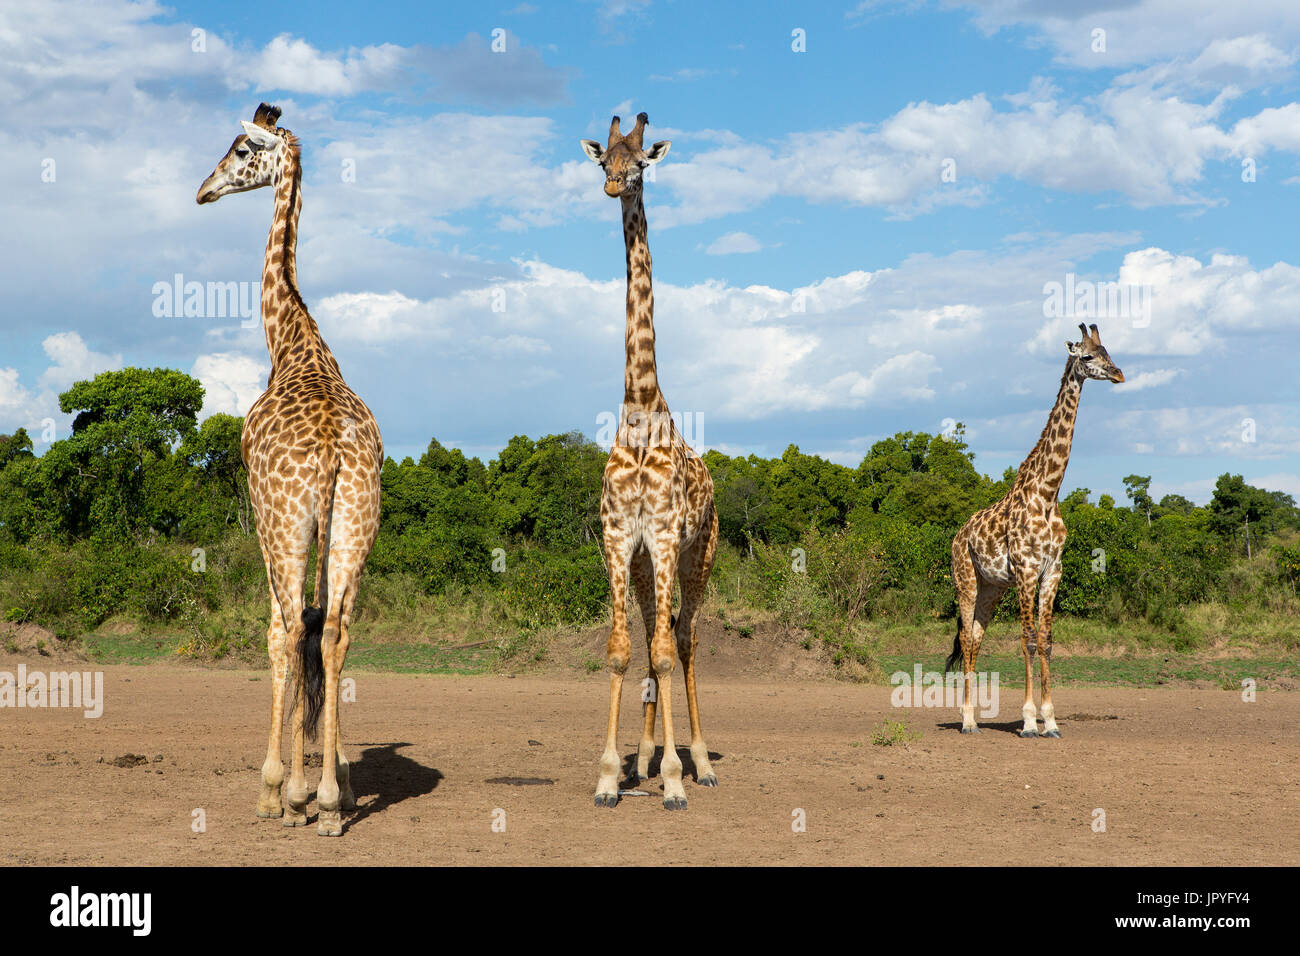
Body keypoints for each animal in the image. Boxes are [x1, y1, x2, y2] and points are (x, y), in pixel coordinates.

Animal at [197, 103, 384, 836]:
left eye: (242, 148)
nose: (204, 190)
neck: (291, 339)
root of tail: (332, 450)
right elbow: (316, 633)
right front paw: (333, 785)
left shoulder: (261, 518)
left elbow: (278, 635)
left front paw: (276, 788)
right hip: (356, 525)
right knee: (333, 631)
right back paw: (332, 802)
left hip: (287, 526)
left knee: (293, 630)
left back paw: (301, 794)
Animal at [946, 323, 1123, 737]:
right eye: (1087, 356)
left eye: (1108, 351)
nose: (1119, 374)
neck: (1048, 492)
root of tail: (958, 535)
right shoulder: (1026, 570)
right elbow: (1027, 639)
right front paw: (1028, 721)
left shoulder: (1052, 570)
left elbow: (1046, 640)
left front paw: (1051, 720)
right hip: (966, 580)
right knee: (965, 636)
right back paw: (966, 721)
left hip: (991, 588)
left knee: (975, 638)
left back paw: (974, 719)